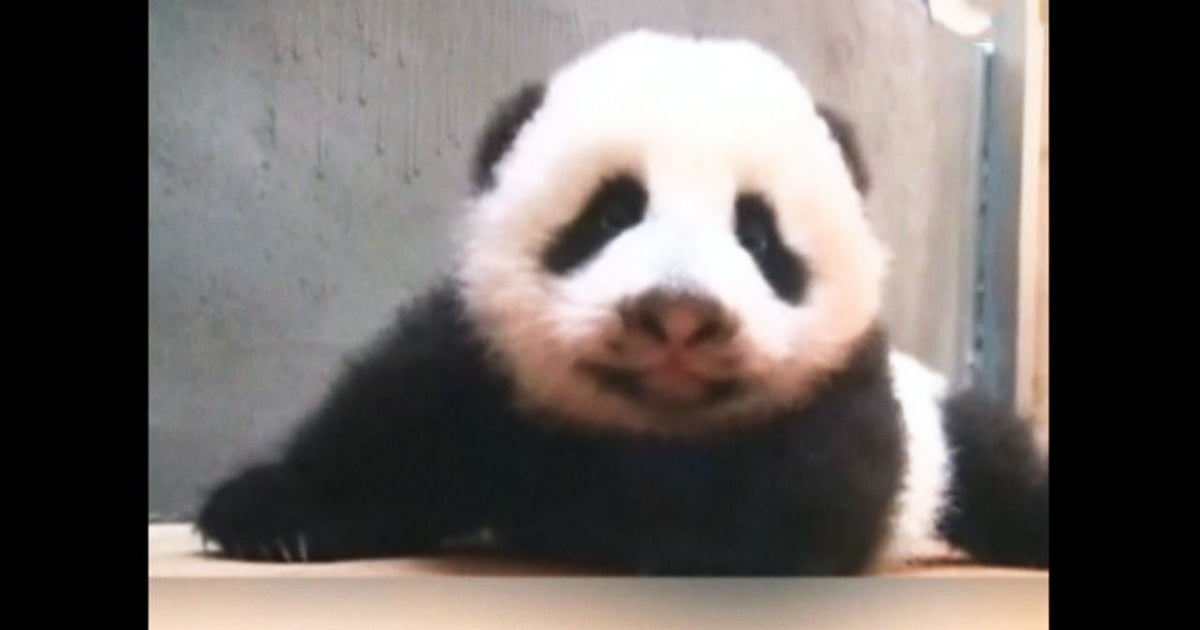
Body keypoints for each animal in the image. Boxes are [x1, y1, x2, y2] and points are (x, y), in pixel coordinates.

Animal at [196, 30, 1049, 575]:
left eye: (757, 234)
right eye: (612, 212)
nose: (679, 315)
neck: (650, 426)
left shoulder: (844, 395)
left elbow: (812, 501)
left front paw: (674, 539)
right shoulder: (481, 356)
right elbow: (393, 428)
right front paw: (270, 515)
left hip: (945, 431)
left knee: (996, 464)